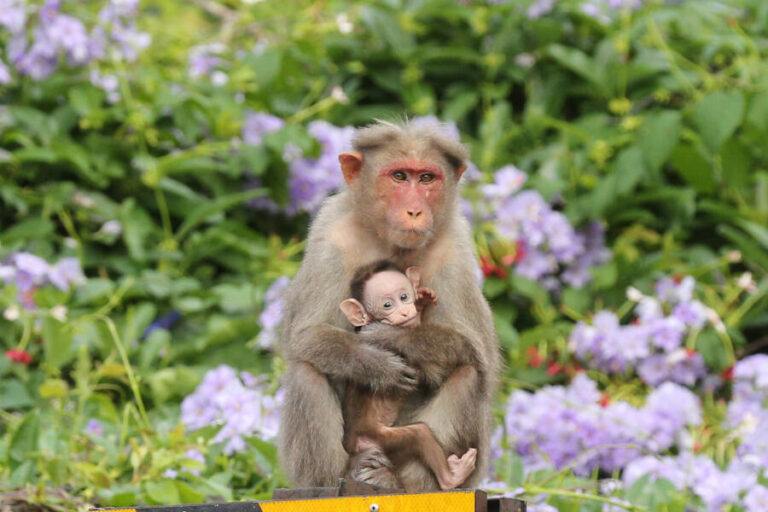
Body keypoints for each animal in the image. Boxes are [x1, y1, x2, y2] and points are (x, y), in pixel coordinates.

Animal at [338, 259, 478, 490]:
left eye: (403, 297)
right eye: (387, 305)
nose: (404, 311)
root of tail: (354, 443)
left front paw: (422, 301)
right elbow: (434, 374)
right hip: (381, 439)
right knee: (419, 434)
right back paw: (451, 478)